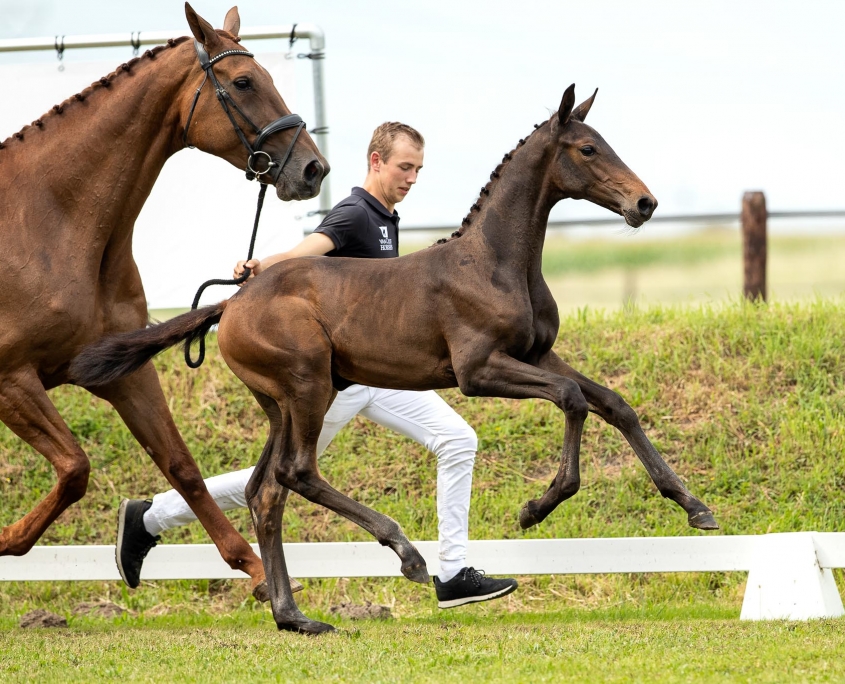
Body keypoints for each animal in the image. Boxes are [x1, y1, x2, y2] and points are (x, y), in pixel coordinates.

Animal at [0, 3, 328, 601]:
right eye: (243, 82)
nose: (313, 169)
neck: (48, 221)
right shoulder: (12, 379)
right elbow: (75, 467)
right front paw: (6, 540)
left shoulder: (122, 372)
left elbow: (181, 466)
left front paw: (259, 573)